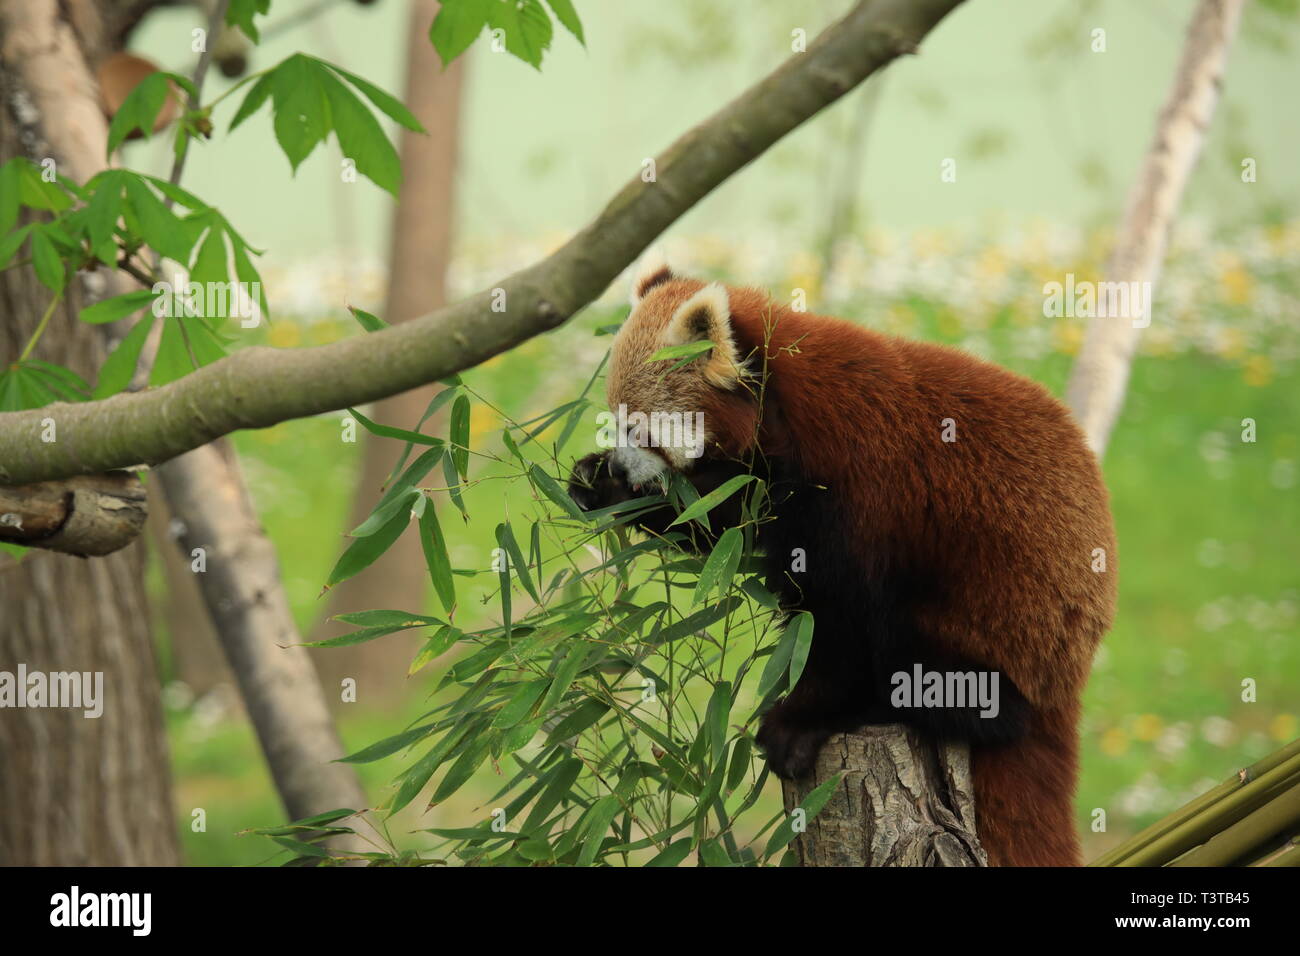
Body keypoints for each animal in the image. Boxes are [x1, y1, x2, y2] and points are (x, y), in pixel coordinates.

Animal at [567, 251, 1118, 866]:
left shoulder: (856, 483)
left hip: (998, 623)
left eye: (638, 428)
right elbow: (715, 520)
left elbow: (842, 616)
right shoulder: (762, 485)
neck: (783, 405)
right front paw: (599, 486)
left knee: (942, 676)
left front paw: (800, 719)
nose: (621, 466)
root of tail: (1070, 674)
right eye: (615, 423)